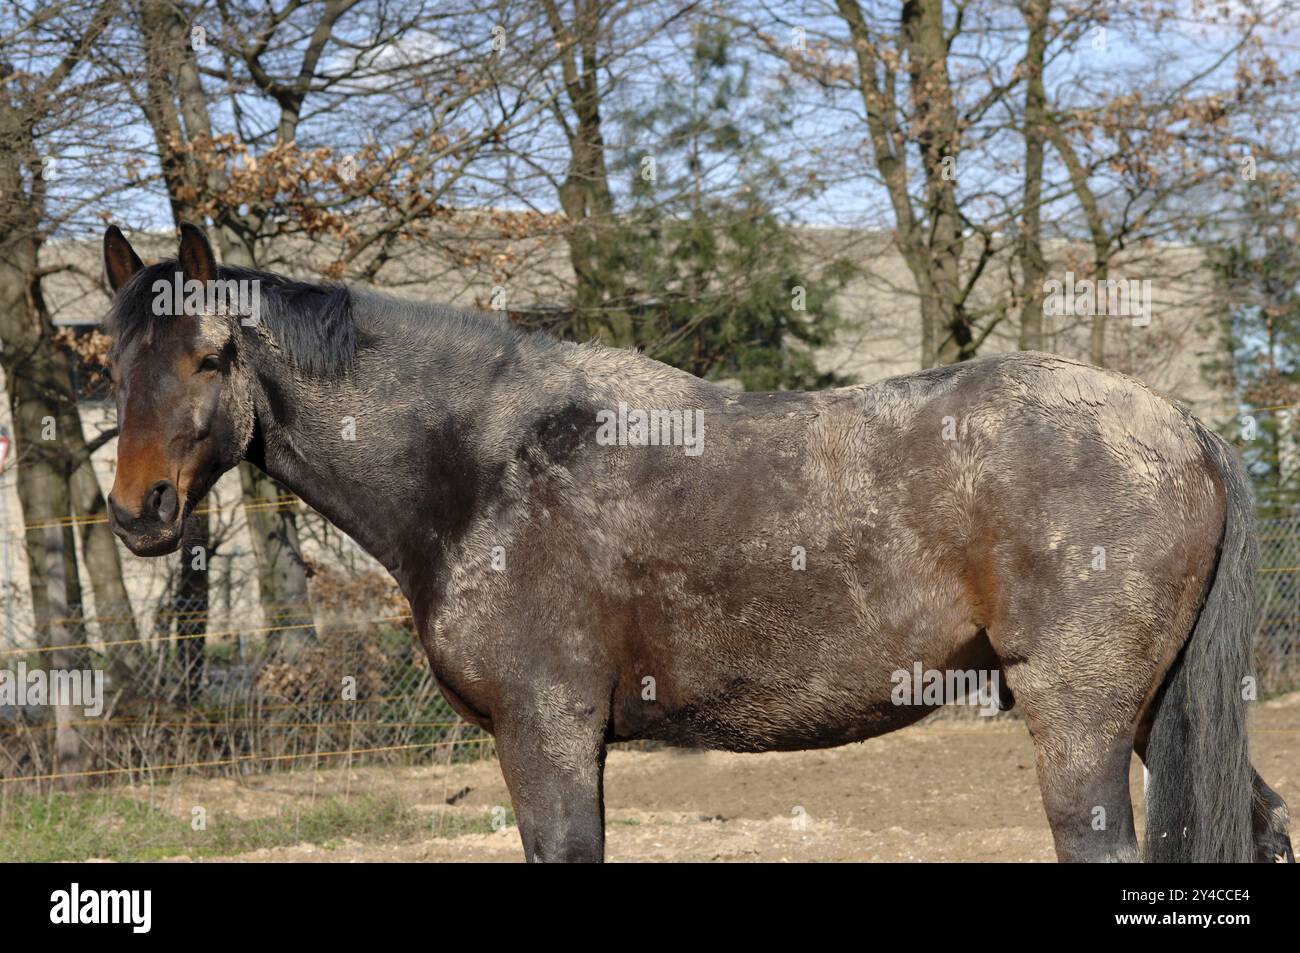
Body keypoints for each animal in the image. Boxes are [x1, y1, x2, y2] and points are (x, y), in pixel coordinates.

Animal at [99, 222, 1294, 863]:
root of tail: (1175, 421)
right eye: (111, 358)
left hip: (1082, 721)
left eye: (211, 355)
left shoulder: (548, 735)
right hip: (1154, 712)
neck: (480, 461)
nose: (138, 511)